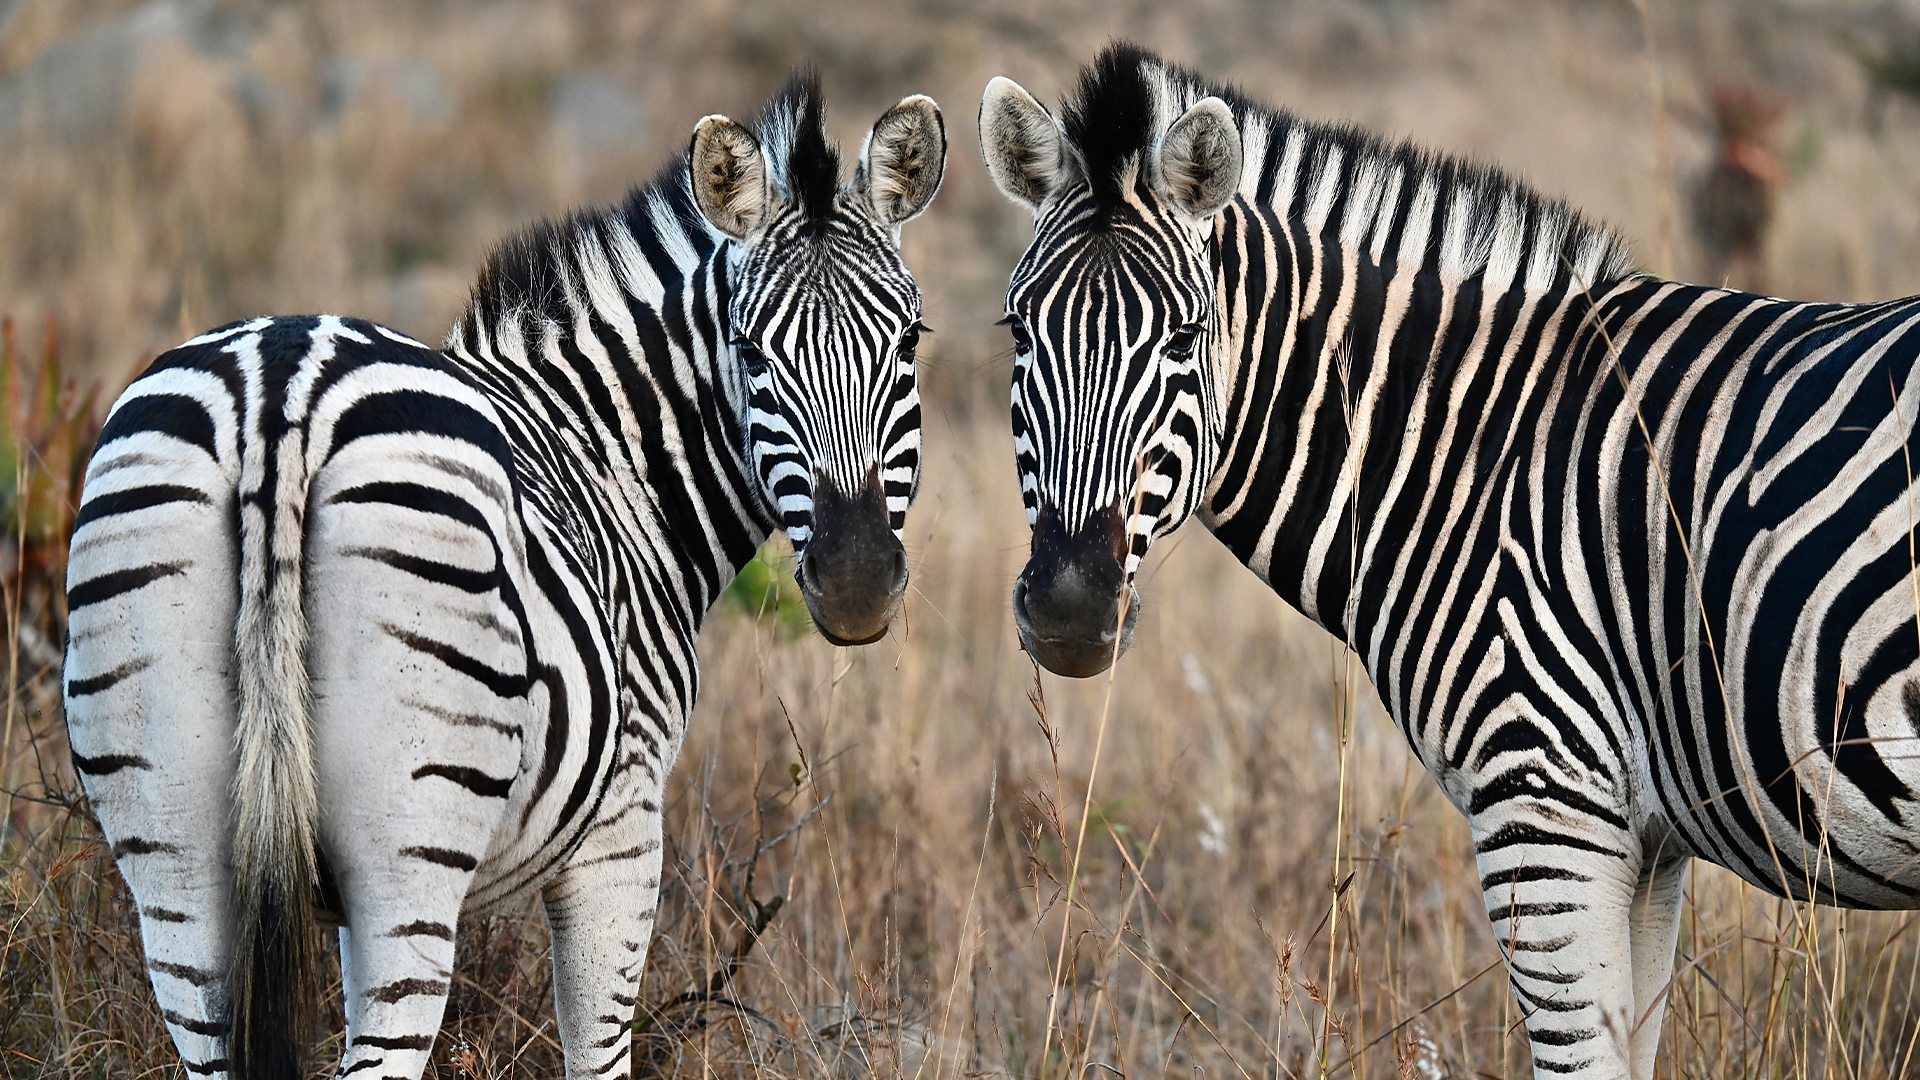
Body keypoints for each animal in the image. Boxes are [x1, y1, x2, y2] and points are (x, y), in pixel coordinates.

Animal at [63, 72, 945, 1080]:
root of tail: (280, 395)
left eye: (909, 341)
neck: (604, 456)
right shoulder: (621, 829)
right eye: (751, 350)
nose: (857, 581)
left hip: (175, 850)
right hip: (409, 839)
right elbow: (598, 1054)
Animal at [980, 43, 1920, 1079]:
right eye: (1017, 331)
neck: (1478, 447)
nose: (1069, 610)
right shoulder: (1648, 841)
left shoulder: (1542, 801)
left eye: (1185, 337)